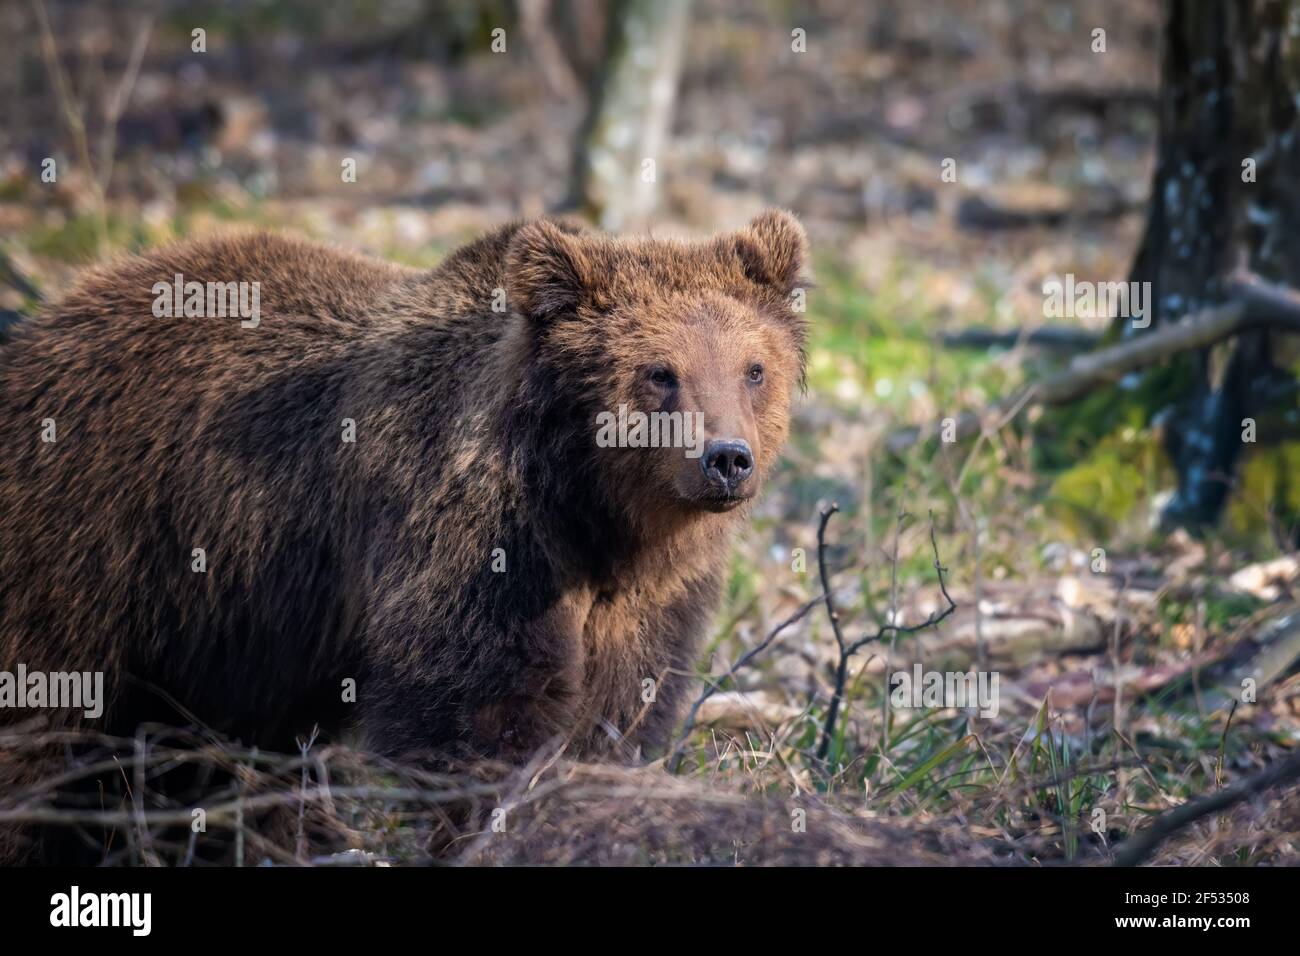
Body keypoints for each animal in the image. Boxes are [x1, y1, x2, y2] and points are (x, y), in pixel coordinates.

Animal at [0, 210, 808, 862]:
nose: (726, 459)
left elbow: (615, 706)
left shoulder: (643, 595)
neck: (590, 513)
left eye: (754, 368)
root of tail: (46, 324)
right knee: (47, 713)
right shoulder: (473, 537)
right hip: (92, 539)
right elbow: (481, 706)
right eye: (659, 372)